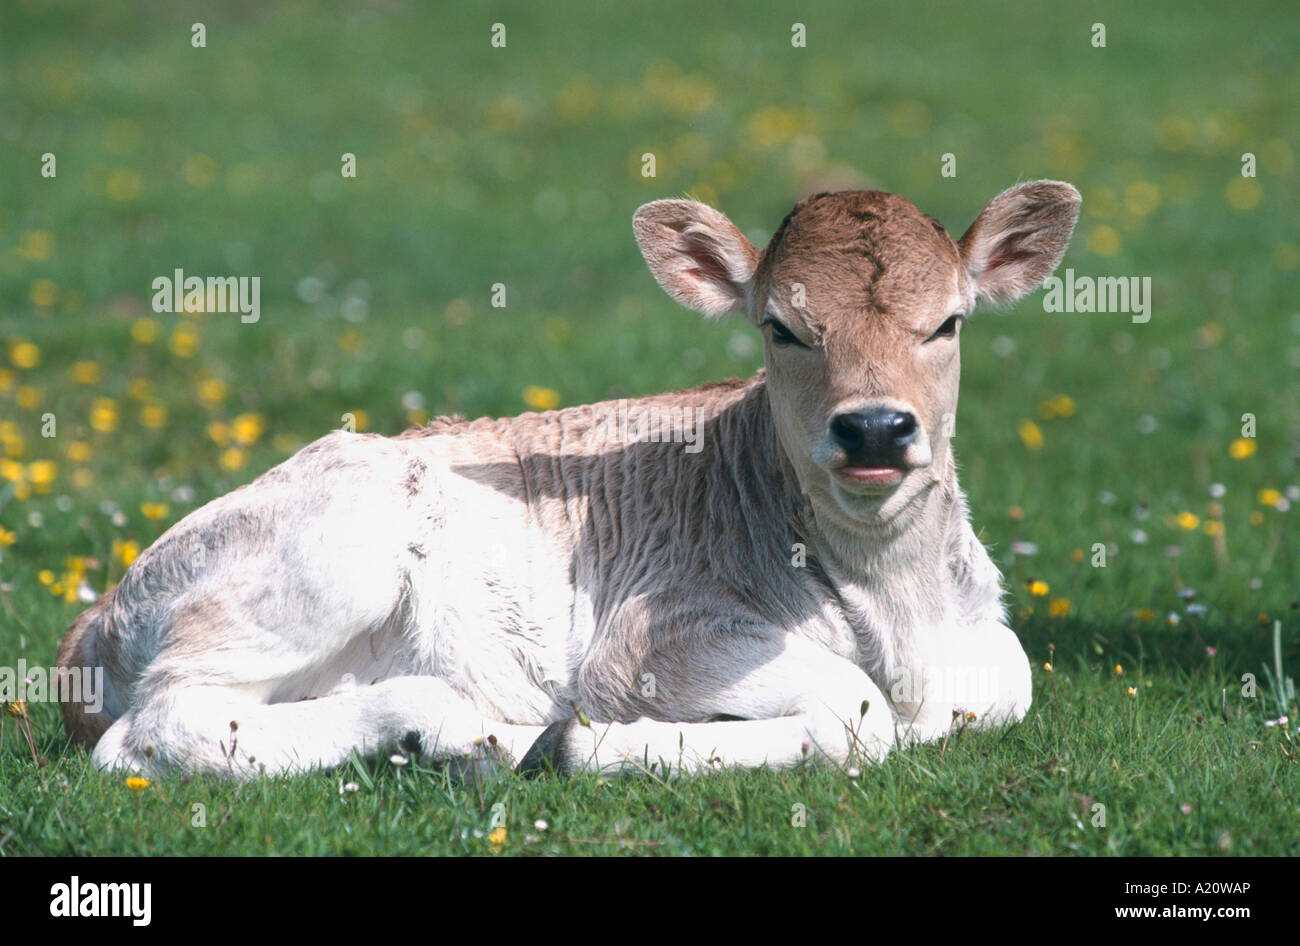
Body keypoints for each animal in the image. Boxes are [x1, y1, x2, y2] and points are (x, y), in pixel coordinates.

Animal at [57, 180, 1080, 779]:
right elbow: (855, 710)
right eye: (781, 329)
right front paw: (603, 744)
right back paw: (464, 731)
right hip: (320, 560)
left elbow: (1007, 679)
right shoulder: (647, 642)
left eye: (948, 322)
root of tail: (93, 618)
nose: (873, 427)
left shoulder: (983, 633)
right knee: (155, 728)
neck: (898, 606)